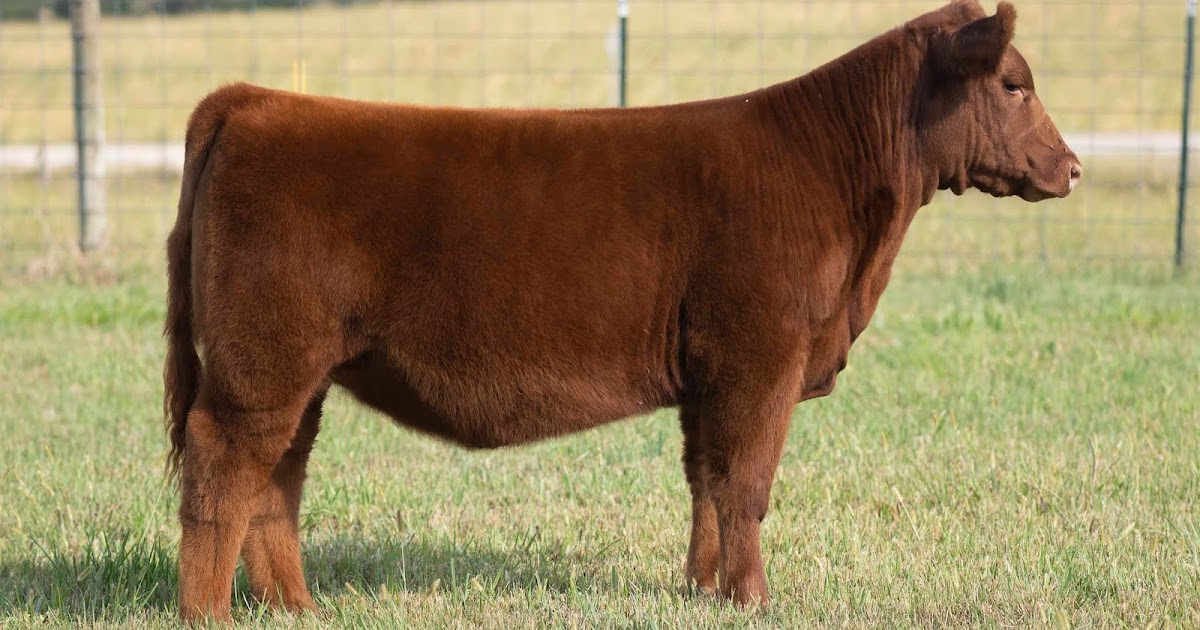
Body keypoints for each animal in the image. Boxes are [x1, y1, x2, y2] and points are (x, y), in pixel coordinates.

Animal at [163, 0, 1080, 621]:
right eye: (1013, 84)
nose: (1072, 167)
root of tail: (254, 99)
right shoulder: (762, 355)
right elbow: (748, 482)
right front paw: (755, 598)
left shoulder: (713, 372)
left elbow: (708, 479)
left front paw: (705, 590)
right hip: (262, 363)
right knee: (225, 466)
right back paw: (208, 612)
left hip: (299, 369)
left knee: (278, 475)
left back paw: (295, 606)